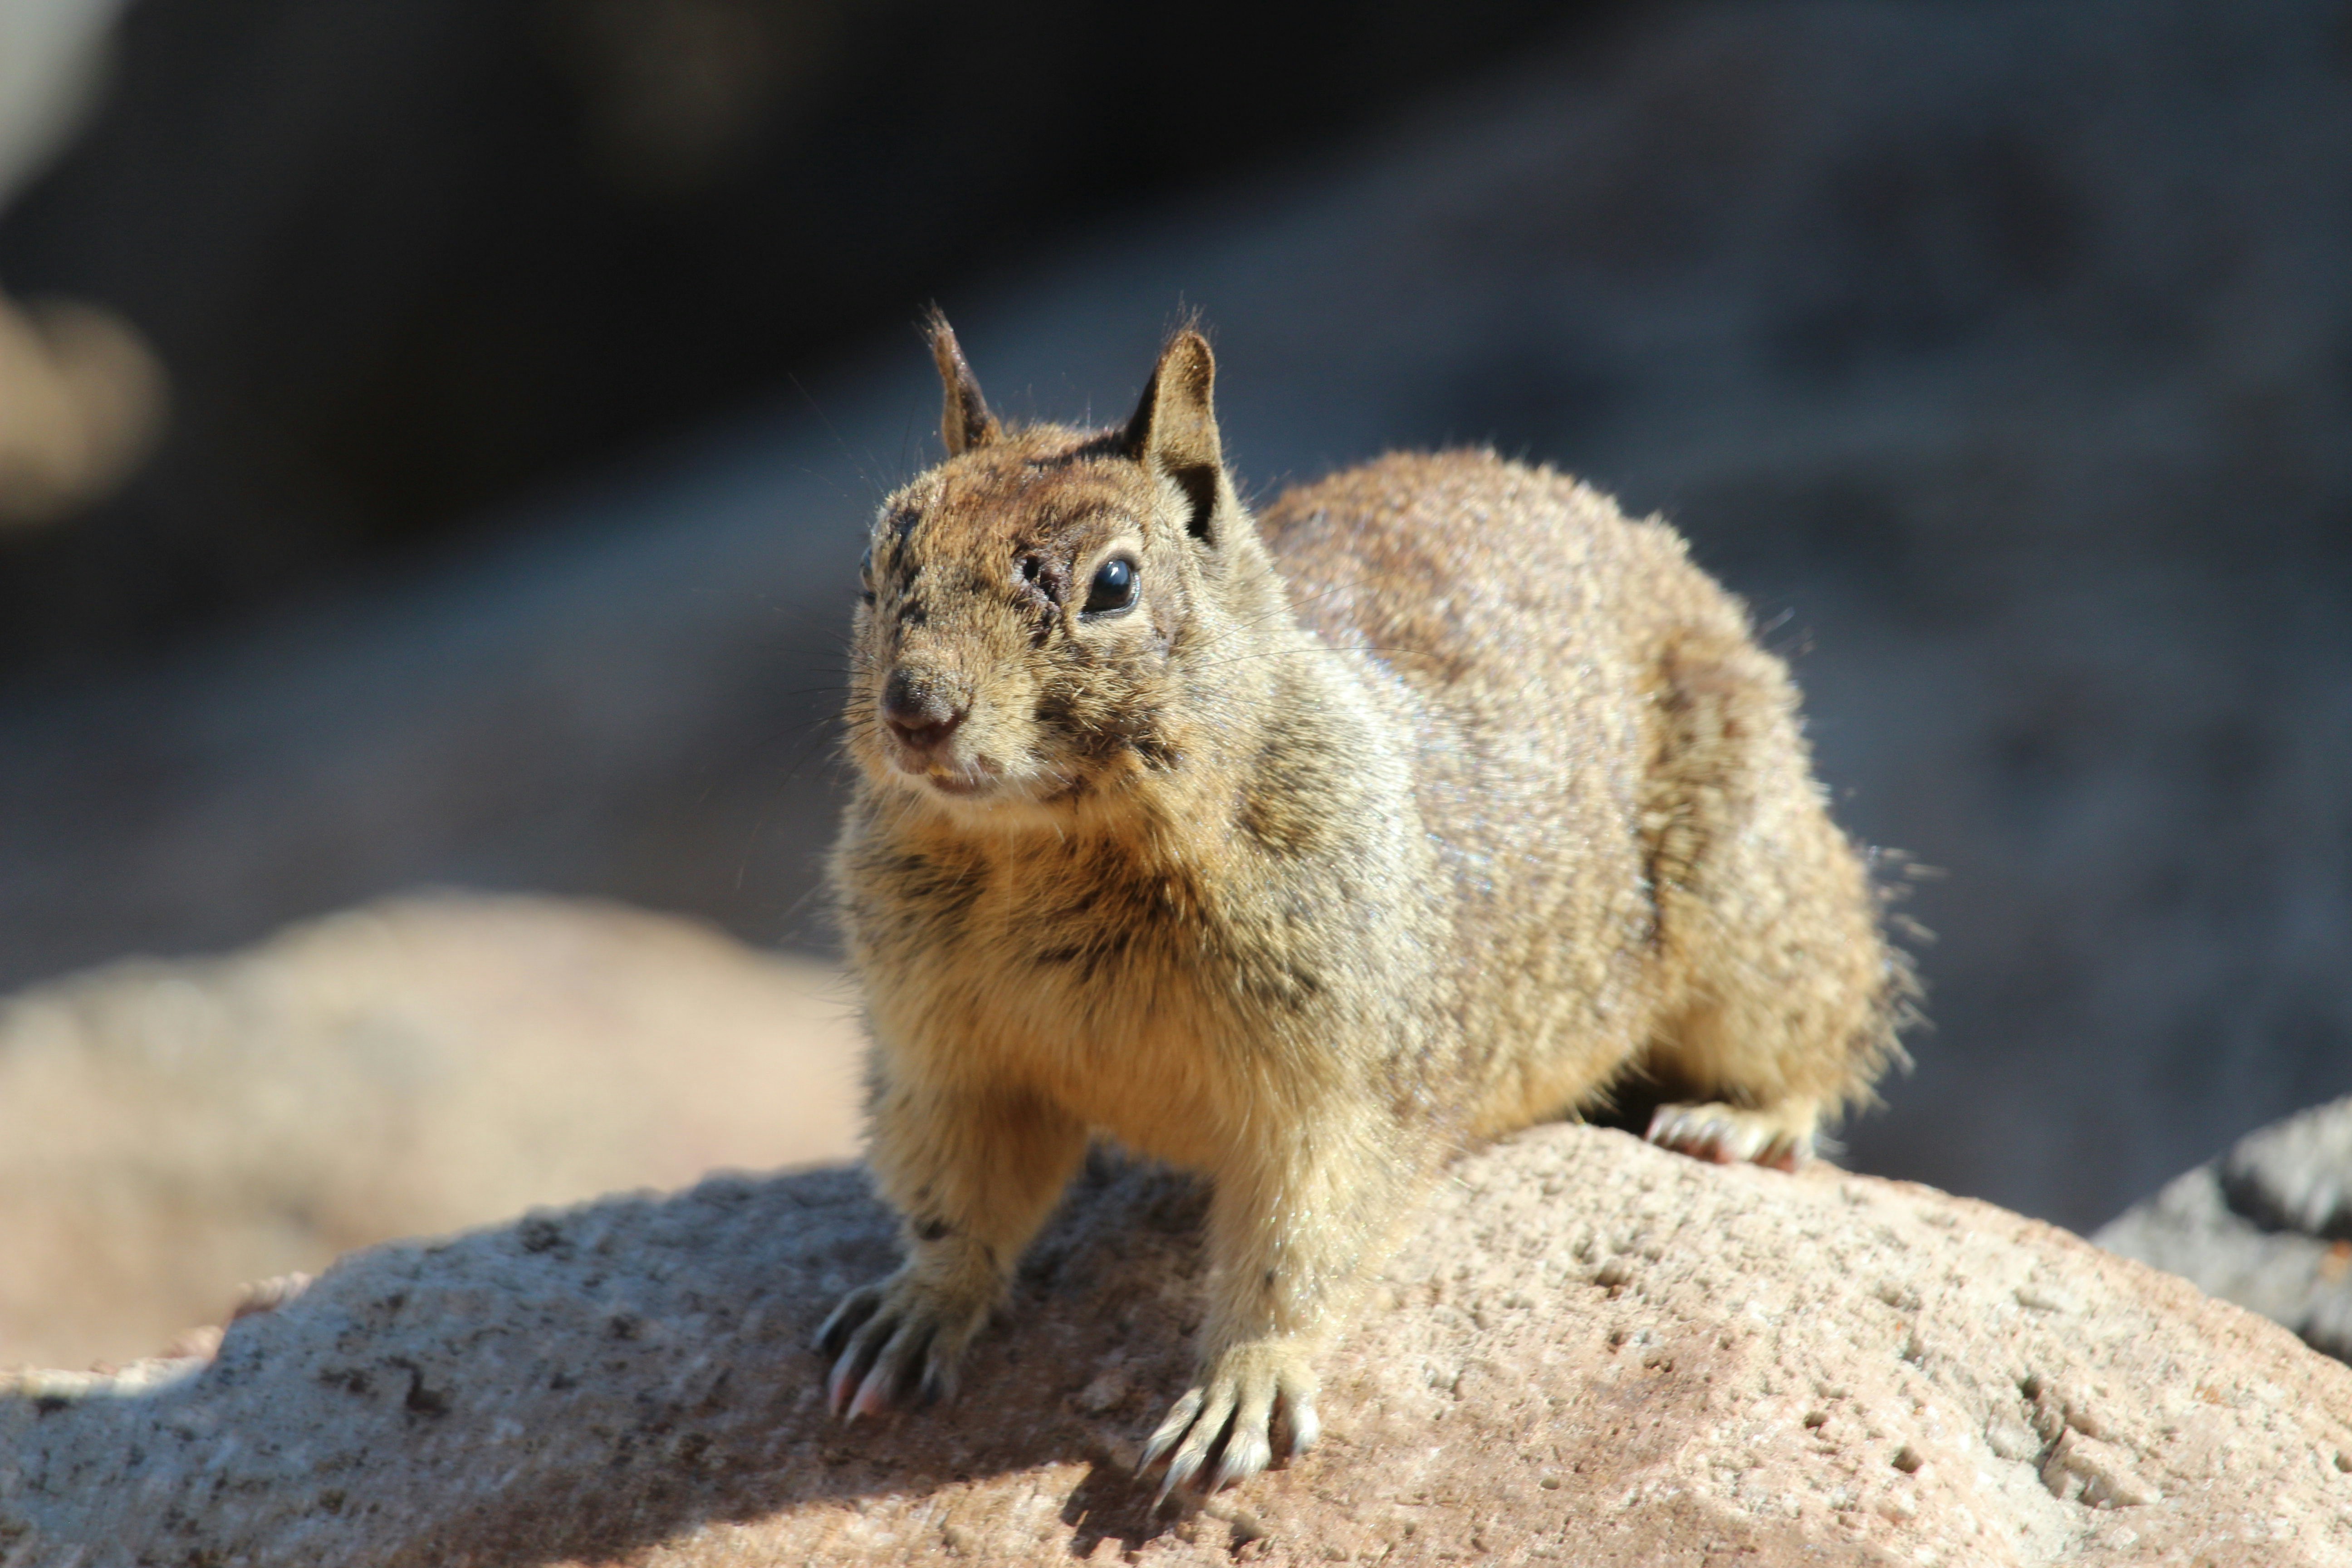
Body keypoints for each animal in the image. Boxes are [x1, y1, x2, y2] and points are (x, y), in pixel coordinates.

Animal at [815, 315, 1914, 1498]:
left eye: (1112, 582)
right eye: (879, 563)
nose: (916, 709)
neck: (1043, 853)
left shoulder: (1341, 1076)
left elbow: (1301, 1231)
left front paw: (1241, 1388)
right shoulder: (945, 1056)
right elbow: (956, 1196)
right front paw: (908, 1310)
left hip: (1754, 915)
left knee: (1827, 1029)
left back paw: (1740, 1120)